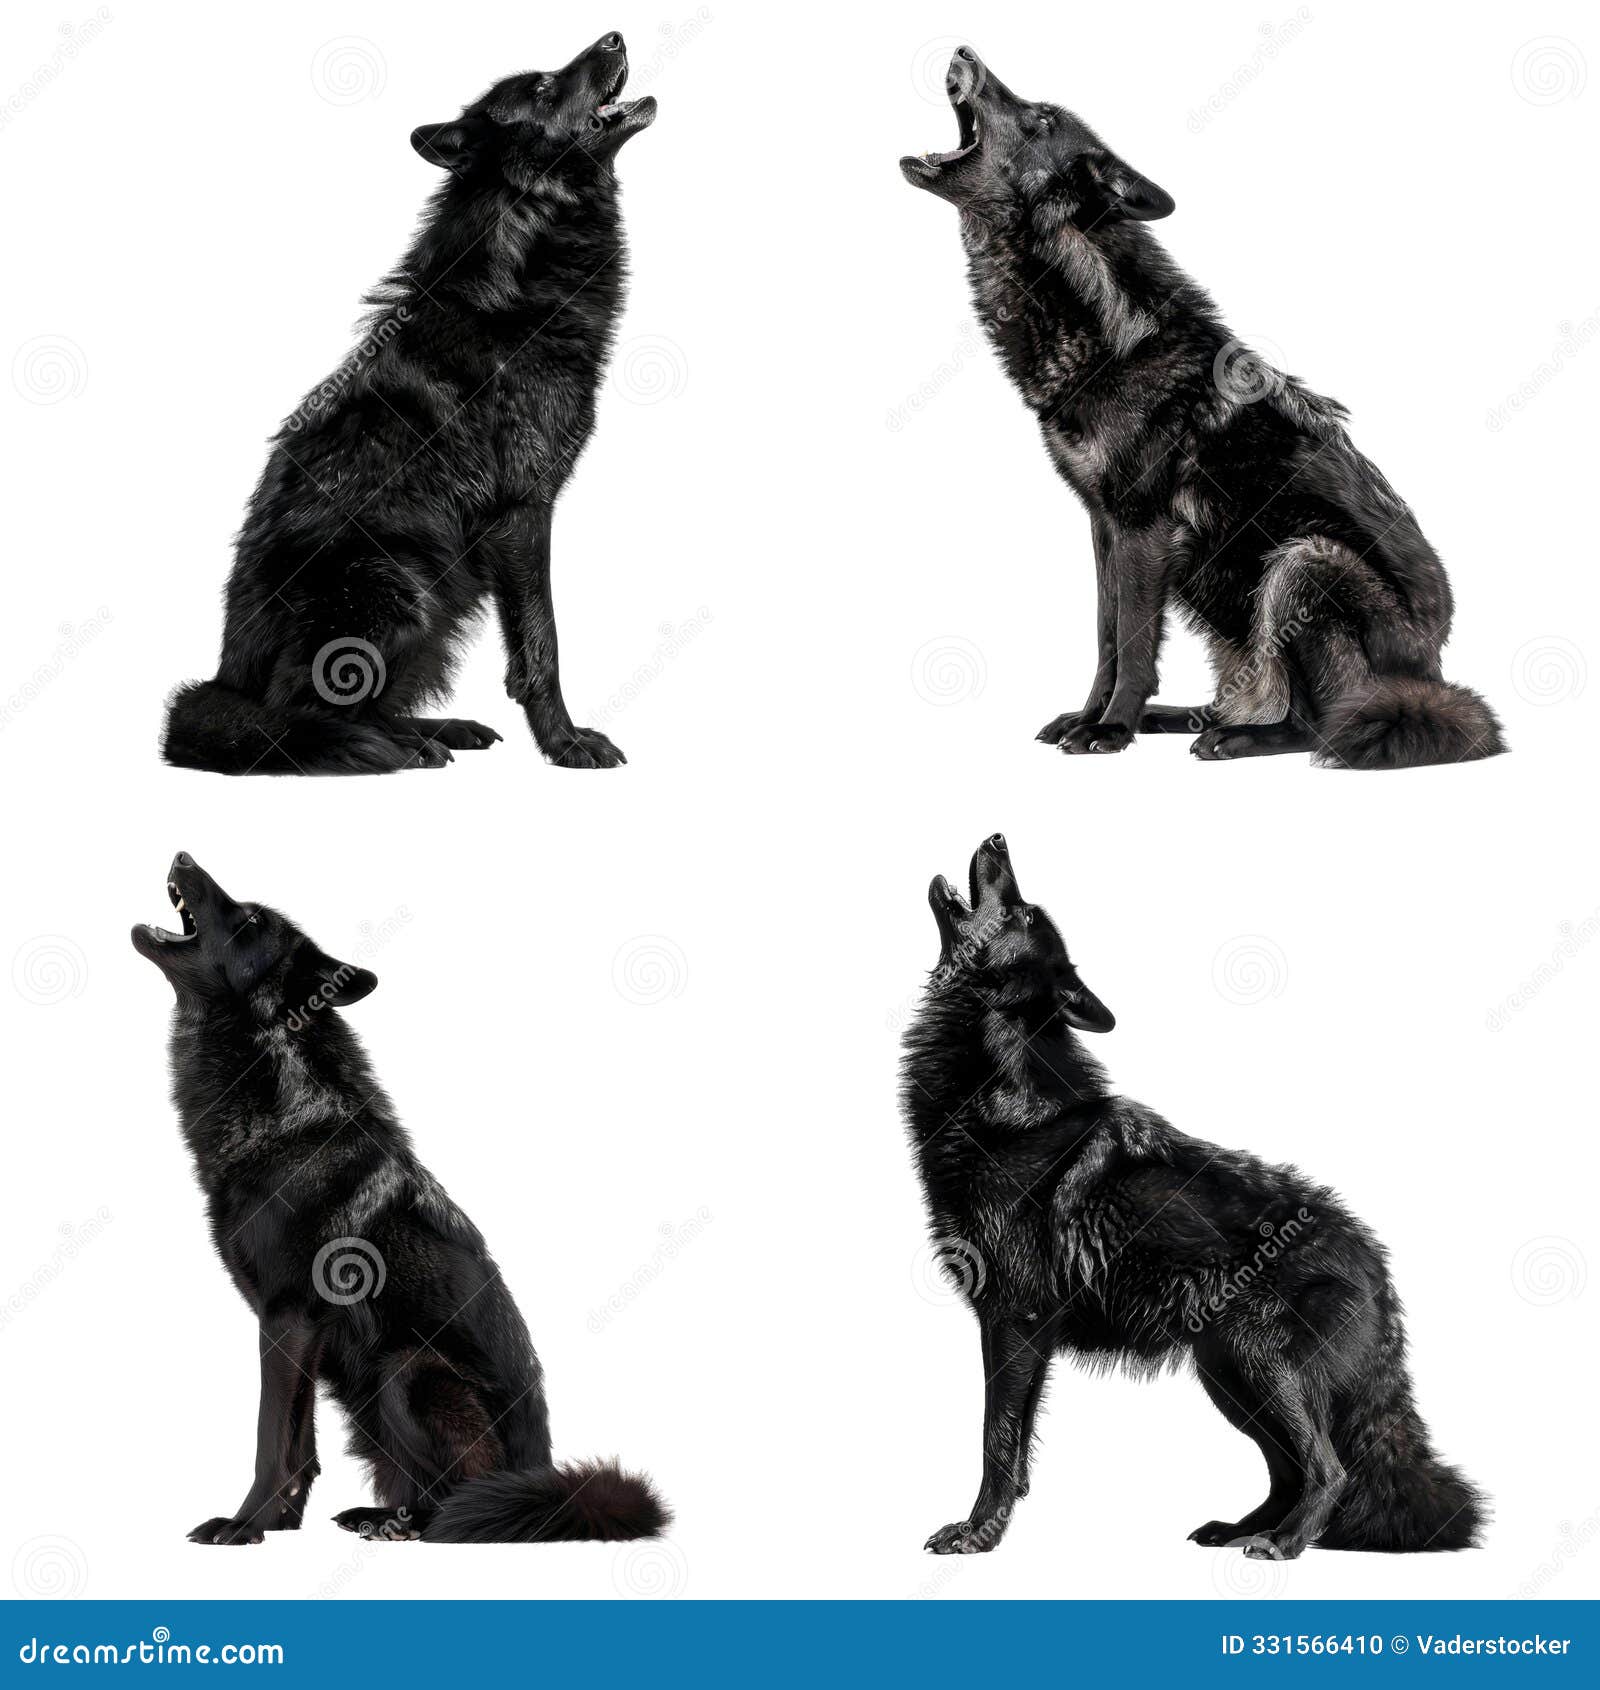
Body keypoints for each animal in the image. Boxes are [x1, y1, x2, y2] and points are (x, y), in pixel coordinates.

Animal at [132, 853, 669, 1544]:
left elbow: (269, 1439)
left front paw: (244, 1526)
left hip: (405, 1370)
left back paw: (412, 1524)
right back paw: (380, 1515)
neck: (284, 1108)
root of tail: (547, 1484)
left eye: (249, 923)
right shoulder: (295, 1329)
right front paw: (283, 1525)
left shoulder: (288, 1316)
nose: (183, 857)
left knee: (460, 1506)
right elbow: (299, 1443)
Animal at [164, 34, 656, 774]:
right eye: (543, 89)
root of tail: (227, 682)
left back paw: (438, 730)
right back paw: (399, 747)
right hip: (402, 582)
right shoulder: (523, 512)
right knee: (299, 715)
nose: (614, 36)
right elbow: (542, 644)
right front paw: (565, 743)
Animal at [901, 835, 1483, 1558]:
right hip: (1227, 1378)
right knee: (1289, 1471)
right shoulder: (1011, 1325)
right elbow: (1010, 1440)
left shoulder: (1016, 1319)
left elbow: (997, 1440)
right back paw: (1241, 1531)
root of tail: (1377, 1266)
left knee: (1328, 1469)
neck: (997, 1097)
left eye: (1023, 911)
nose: (998, 839)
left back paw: (1283, 1545)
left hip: (1256, 1366)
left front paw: (979, 1532)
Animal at [902, 51, 1504, 769]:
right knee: (1257, 694)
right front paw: (1091, 716)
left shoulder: (1143, 526)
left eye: (1040, 118)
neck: (1111, 332)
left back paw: (1237, 736)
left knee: (1315, 726)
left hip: (1301, 564)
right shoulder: (1104, 525)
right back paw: (1184, 717)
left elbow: (1134, 643)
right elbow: (1107, 638)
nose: (962, 53)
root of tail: (1433, 678)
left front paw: (1111, 729)